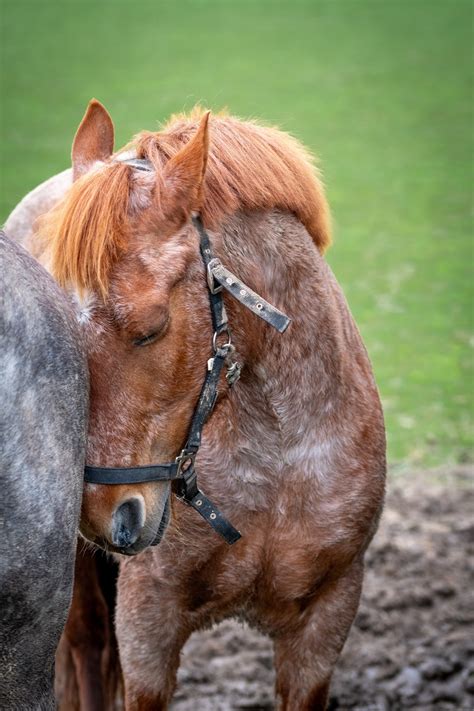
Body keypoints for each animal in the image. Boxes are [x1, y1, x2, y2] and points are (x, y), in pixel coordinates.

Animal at [30, 99, 386, 710]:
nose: (103, 513)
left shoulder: (325, 623)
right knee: (87, 649)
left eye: (151, 329)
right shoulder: (149, 625)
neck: (276, 451)